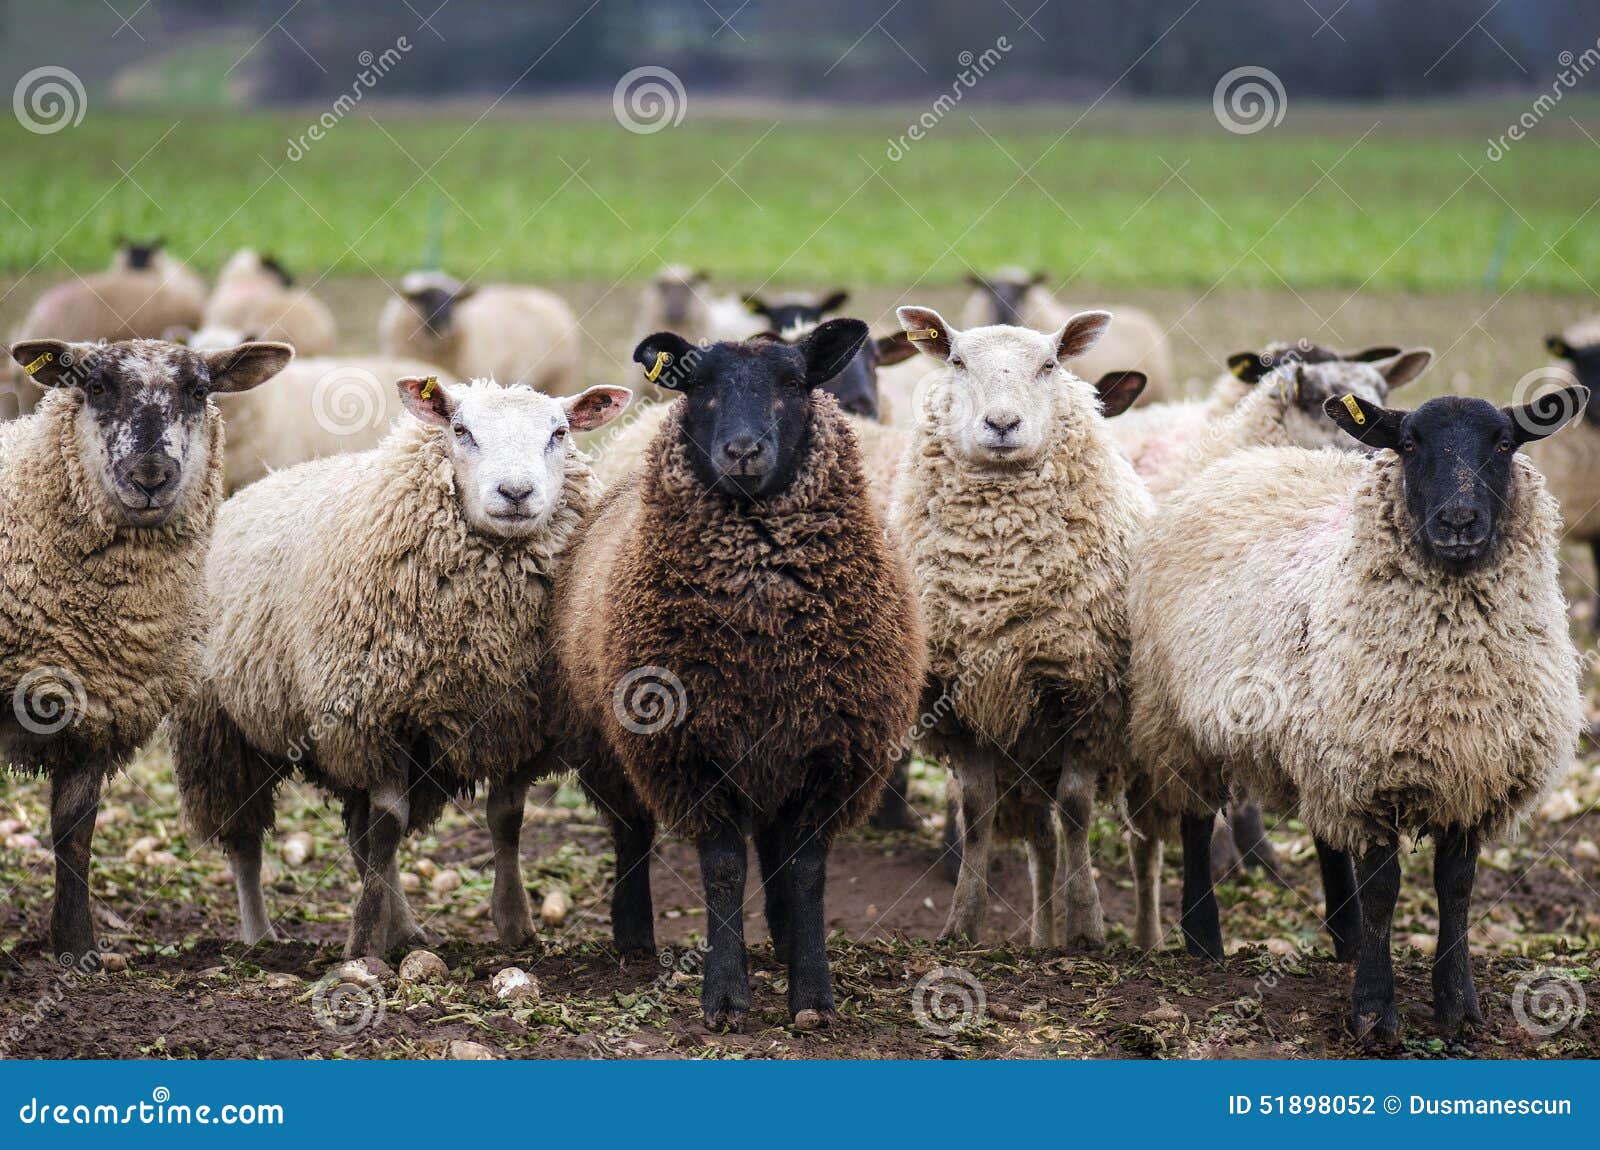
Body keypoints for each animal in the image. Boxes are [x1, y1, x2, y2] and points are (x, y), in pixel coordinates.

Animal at [0, 336, 292, 963]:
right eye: (95, 385)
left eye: (199, 390)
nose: (152, 476)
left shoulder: (96, 708)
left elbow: (73, 832)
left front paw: (77, 949)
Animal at [170, 375, 630, 956]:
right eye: (460, 430)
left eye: (560, 433)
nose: (516, 493)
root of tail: (250, 489)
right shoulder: (376, 718)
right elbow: (389, 826)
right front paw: (364, 943)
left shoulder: (515, 721)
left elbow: (505, 821)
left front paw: (515, 926)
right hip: (219, 729)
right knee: (247, 839)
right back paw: (261, 935)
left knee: (358, 837)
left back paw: (406, 928)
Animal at [548, 321, 925, 1028]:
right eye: (698, 384)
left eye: (795, 383)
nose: (743, 450)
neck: (760, 643)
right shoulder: (690, 750)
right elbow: (723, 869)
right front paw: (725, 996)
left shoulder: (829, 754)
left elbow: (805, 873)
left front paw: (813, 994)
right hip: (605, 744)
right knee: (632, 833)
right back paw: (633, 936)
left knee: (774, 854)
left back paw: (783, 937)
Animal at [890, 305, 1161, 951]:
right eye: (956, 360)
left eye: (1050, 364)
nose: (1002, 423)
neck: (998, 578)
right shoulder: (958, 703)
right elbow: (977, 816)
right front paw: (961, 925)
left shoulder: (1089, 695)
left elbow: (1077, 812)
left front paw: (1088, 928)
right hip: (1027, 755)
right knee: (1041, 844)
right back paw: (1041, 938)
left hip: (1143, 757)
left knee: (1145, 850)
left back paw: (1149, 940)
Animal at [1129, 387, 1587, 1040]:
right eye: (1409, 443)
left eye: (1504, 442)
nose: (1457, 522)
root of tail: (1240, 459)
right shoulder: (1373, 776)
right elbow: (1383, 889)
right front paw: (1373, 1011)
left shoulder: (1471, 773)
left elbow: (1457, 886)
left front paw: (1458, 1007)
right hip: (1177, 719)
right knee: (1194, 821)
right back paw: (1203, 939)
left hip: (1320, 742)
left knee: (1324, 835)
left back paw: (1343, 938)